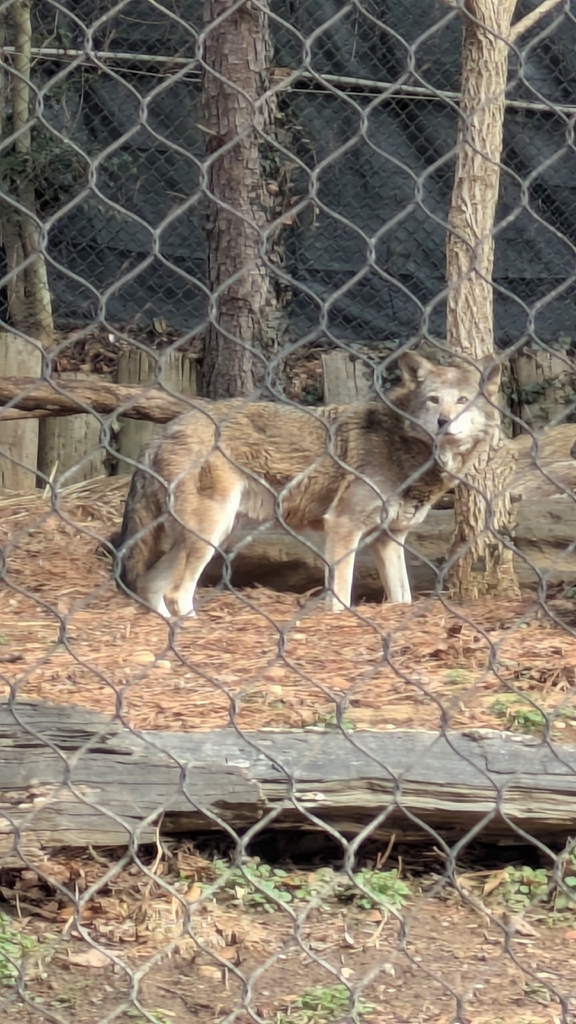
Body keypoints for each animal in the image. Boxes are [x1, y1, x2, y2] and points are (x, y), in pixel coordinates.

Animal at [112, 351, 501, 617]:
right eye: (434, 400)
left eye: (462, 401)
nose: (444, 421)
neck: (405, 448)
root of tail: (161, 433)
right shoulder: (343, 526)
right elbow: (341, 594)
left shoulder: (389, 538)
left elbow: (401, 596)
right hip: (209, 533)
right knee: (177, 593)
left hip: (211, 533)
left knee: (151, 586)